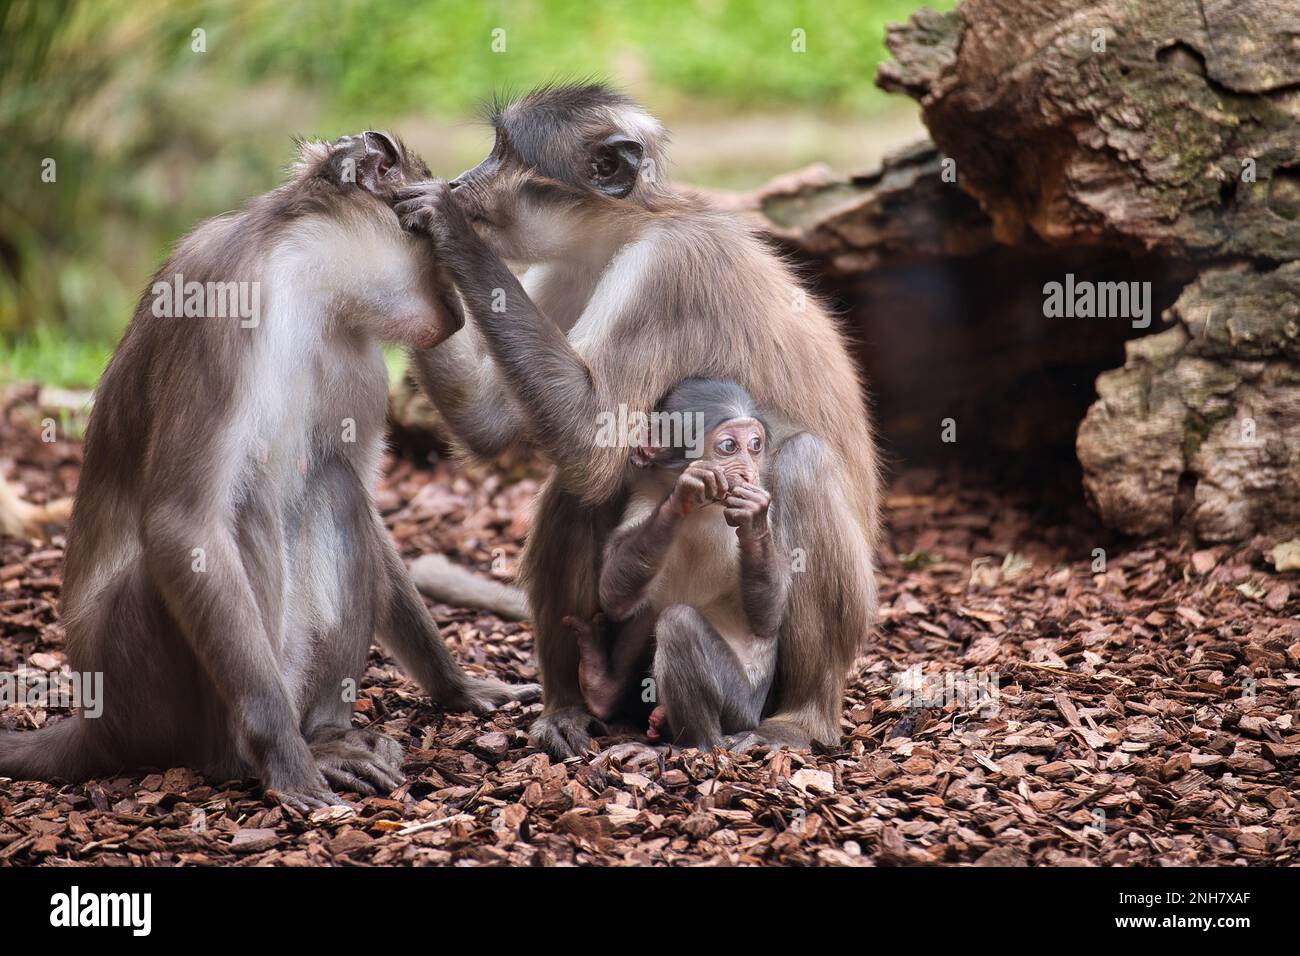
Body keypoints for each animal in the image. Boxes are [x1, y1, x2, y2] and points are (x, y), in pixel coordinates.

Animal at [0, 131, 538, 810]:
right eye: (438, 256)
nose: (458, 314)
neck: (304, 281)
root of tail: (101, 725)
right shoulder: (225, 300)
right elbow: (183, 522)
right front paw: (284, 758)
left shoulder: (356, 349)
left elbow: (362, 497)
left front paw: (457, 685)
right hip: (142, 679)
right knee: (242, 509)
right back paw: (252, 756)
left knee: (334, 485)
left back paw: (330, 734)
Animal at [570, 378, 788, 750]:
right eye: (729, 446)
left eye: (755, 445)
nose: (748, 471)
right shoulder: (645, 493)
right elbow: (613, 593)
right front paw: (684, 495)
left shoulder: (769, 502)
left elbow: (766, 620)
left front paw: (753, 520)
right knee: (647, 597)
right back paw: (602, 688)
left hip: (739, 706)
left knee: (678, 623)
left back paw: (702, 747)